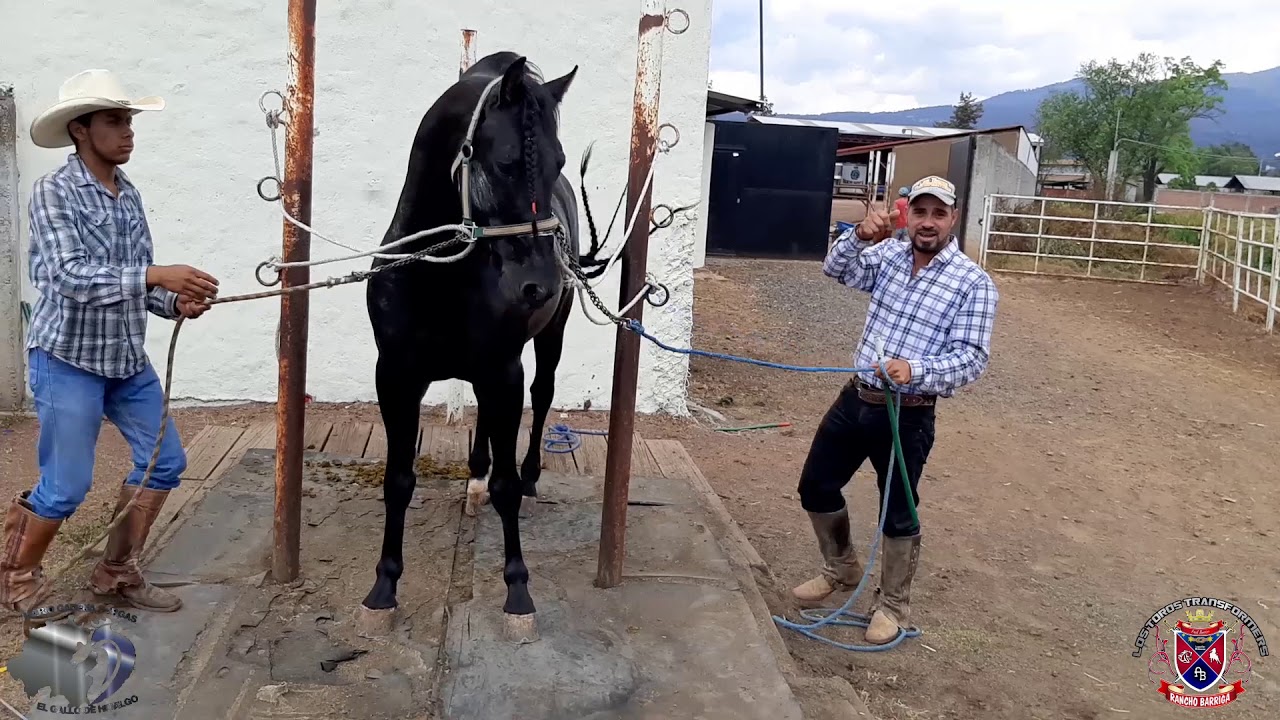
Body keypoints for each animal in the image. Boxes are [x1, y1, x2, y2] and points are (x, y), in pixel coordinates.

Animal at [360, 51, 608, 639]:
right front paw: (383, 588)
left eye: (561, 160)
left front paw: (518, 591)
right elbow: (398, 479)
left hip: (549, 339)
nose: (540, 284)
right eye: (505, 162)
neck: (439, 274)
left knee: (541, 399)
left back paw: (533, 477)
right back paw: (472, 479)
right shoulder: (396, 377)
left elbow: (507, 486)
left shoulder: (503, 371)